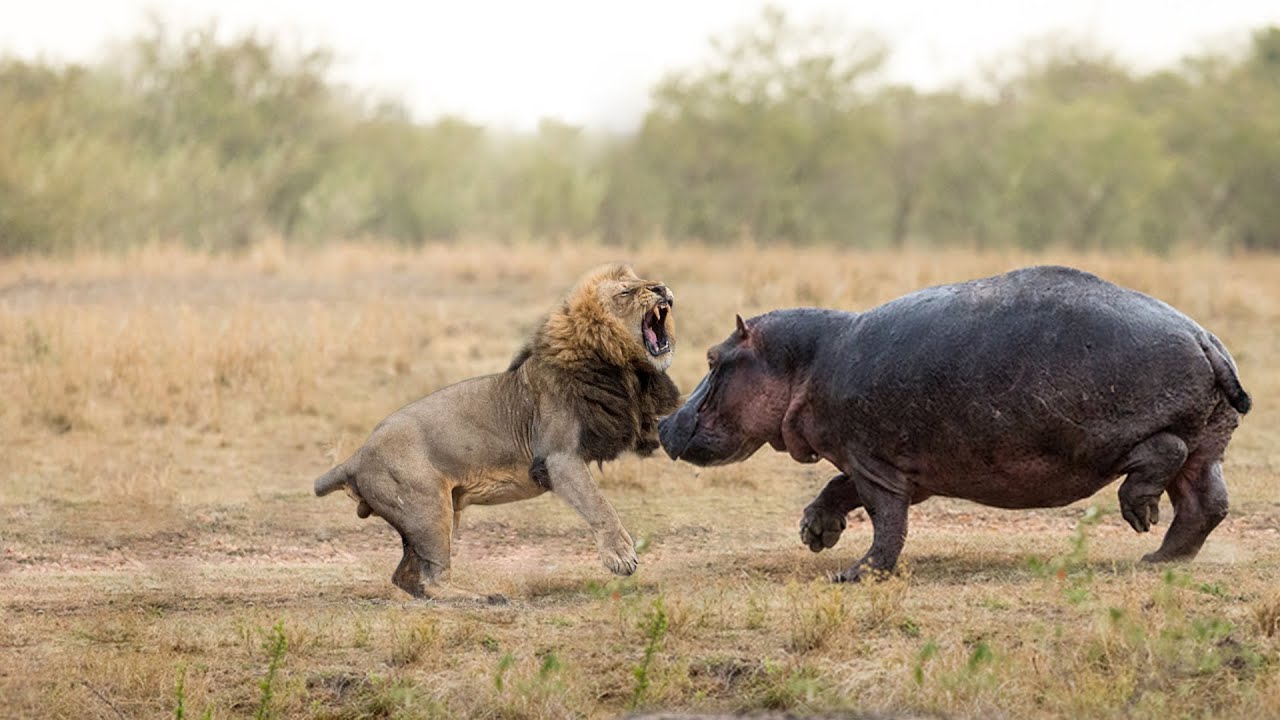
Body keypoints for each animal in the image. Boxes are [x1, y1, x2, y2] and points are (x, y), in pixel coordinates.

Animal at [313, 264, 679, 602]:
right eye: (627, 292)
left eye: (646, 281)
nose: (661, 288)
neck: (627, 370)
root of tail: (356, 456)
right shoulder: (558, 458)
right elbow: (598, 504)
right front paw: (621, 556)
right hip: (428, 510)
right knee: (431, 579)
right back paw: (481, 597)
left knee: (405, 577)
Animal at [659, 266, 1251, 580]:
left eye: (712, 358)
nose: (664, 424)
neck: (803, 361)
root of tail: (1205, 337)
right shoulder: (885, 466)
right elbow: (835, 488)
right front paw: (815, 534)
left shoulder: (875, 466)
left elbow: (886, 522)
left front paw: (854, 574)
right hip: (1209, 439)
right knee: (1205, 501)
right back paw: (1160, 559)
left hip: (1101, 440)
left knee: (1162, 455)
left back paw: (1139, 516)